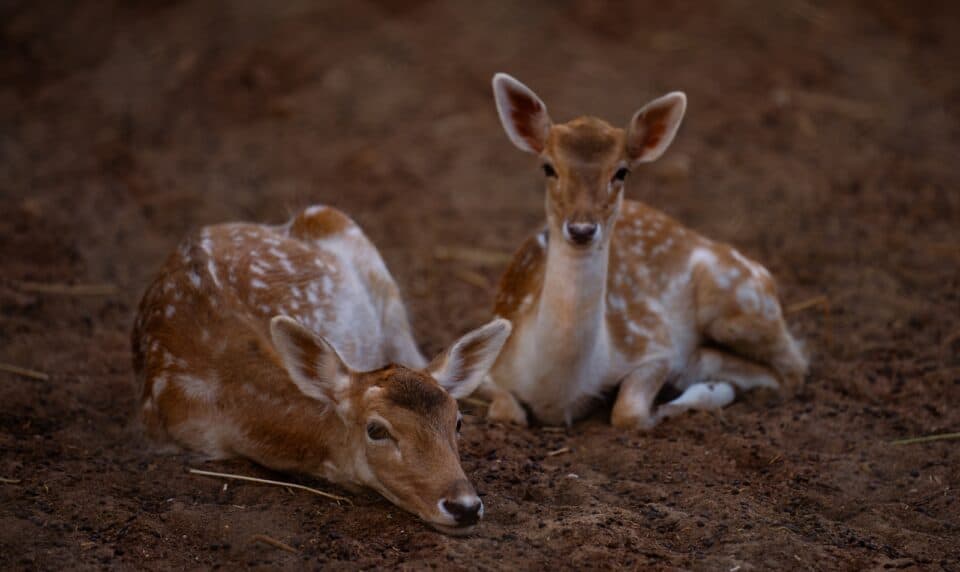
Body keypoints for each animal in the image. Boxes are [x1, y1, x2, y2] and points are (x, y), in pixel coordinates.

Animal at [480, 73, 808, 429]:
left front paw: (665, 408)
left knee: (793, 369)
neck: (556, 386)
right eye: (548, 167)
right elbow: (506, 412)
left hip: (742, 299)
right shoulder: (491, 361)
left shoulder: (650, 343)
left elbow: (629, 413)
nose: (582, 229)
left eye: (621, 171)